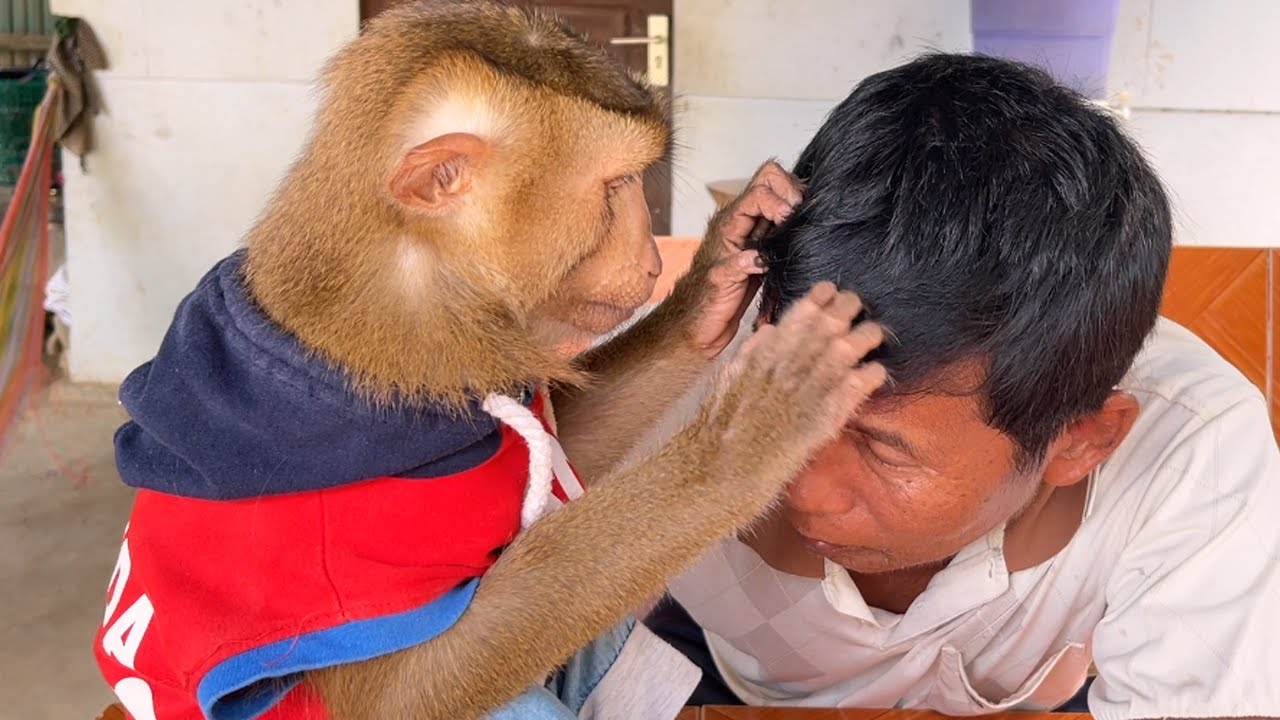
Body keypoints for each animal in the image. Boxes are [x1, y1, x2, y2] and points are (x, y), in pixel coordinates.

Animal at [91, 2, 888, 720]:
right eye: (616, 187)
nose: (655, 256)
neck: (425, 297)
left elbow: (566, 435)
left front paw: (713, 279)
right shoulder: (333, 565)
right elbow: (404, 696)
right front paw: (746, 436)